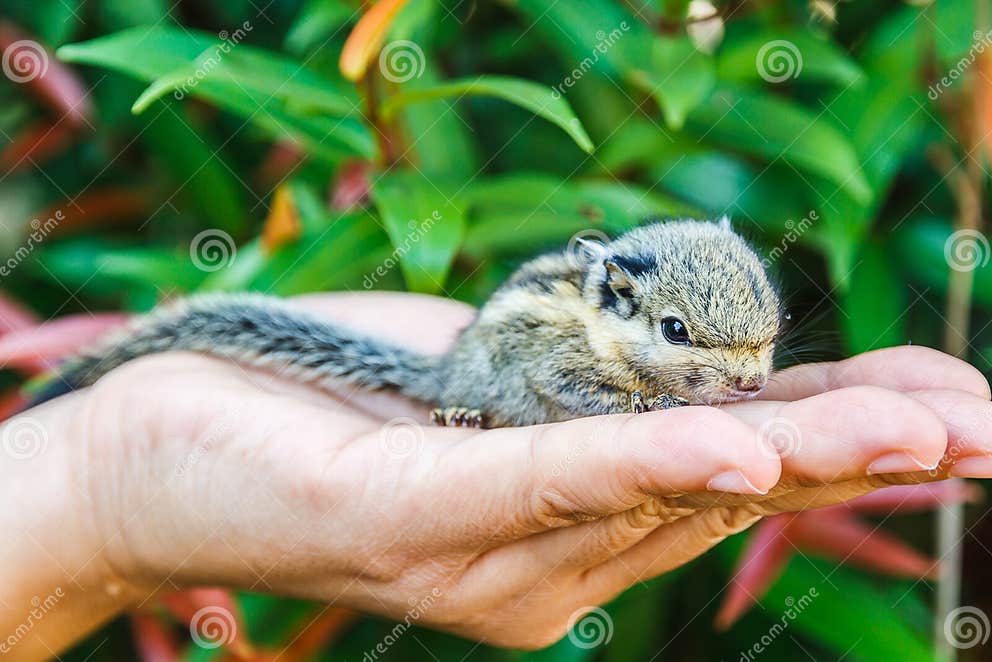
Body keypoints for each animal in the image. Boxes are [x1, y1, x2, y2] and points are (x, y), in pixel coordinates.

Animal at [27, 218, 782, 428]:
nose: (750, 387)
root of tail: (444, 370)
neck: (601, 329)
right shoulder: (554, 363)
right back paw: (463, 415)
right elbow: (584, 389)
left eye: (772, 327)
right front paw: (650, 400)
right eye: (676, 330)